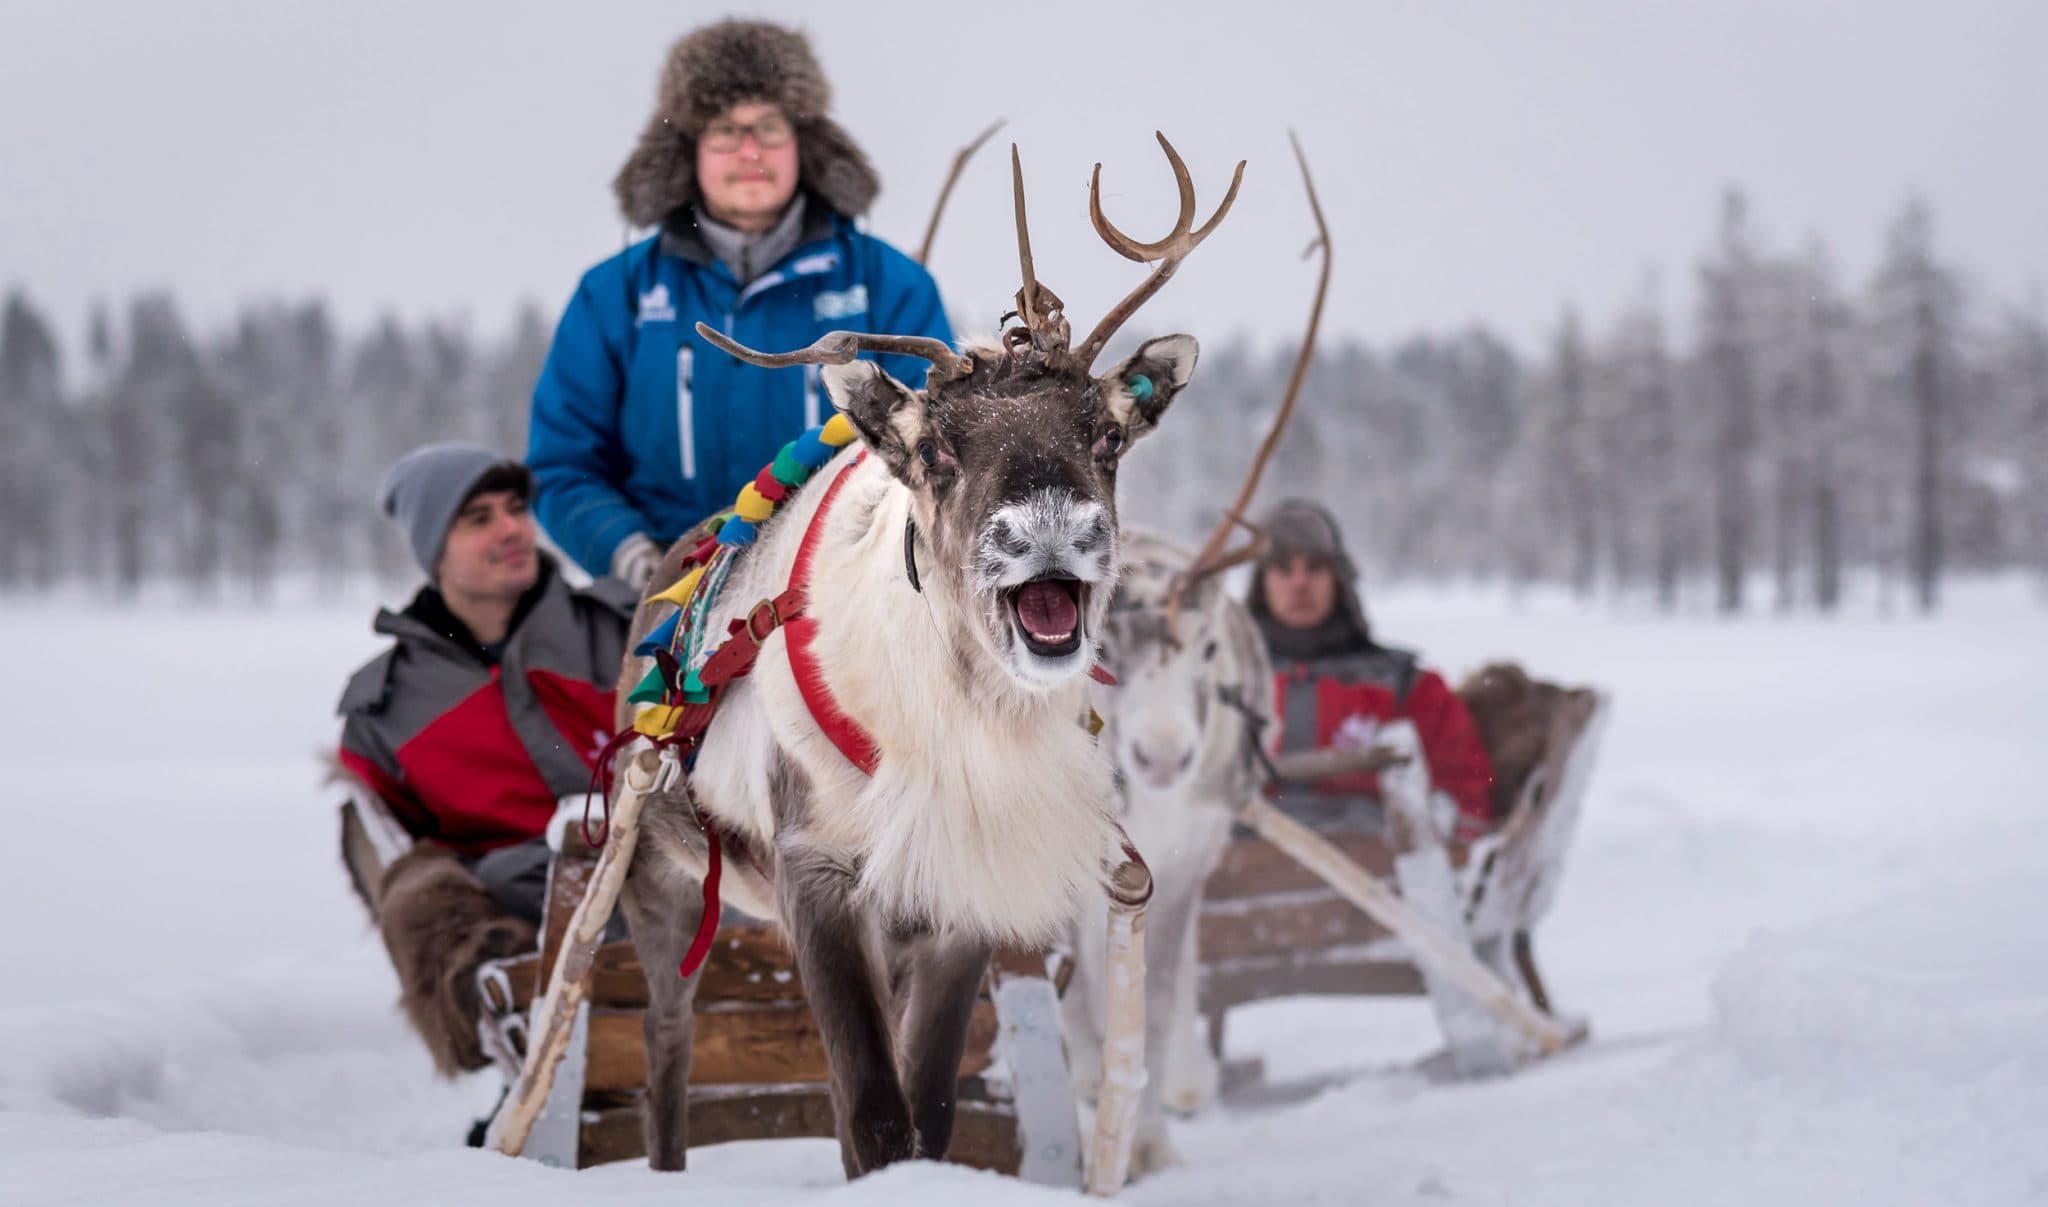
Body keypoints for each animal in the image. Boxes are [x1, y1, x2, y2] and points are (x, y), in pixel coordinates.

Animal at [609, 133, 1245, 1179]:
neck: (964, 725)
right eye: (940, 450)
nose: (1051, 531)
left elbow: (927, 1110)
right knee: (667, 1041)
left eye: (1107, 435)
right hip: (655, 876)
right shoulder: (817, 873)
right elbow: (871, 1111)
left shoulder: (961, 900)